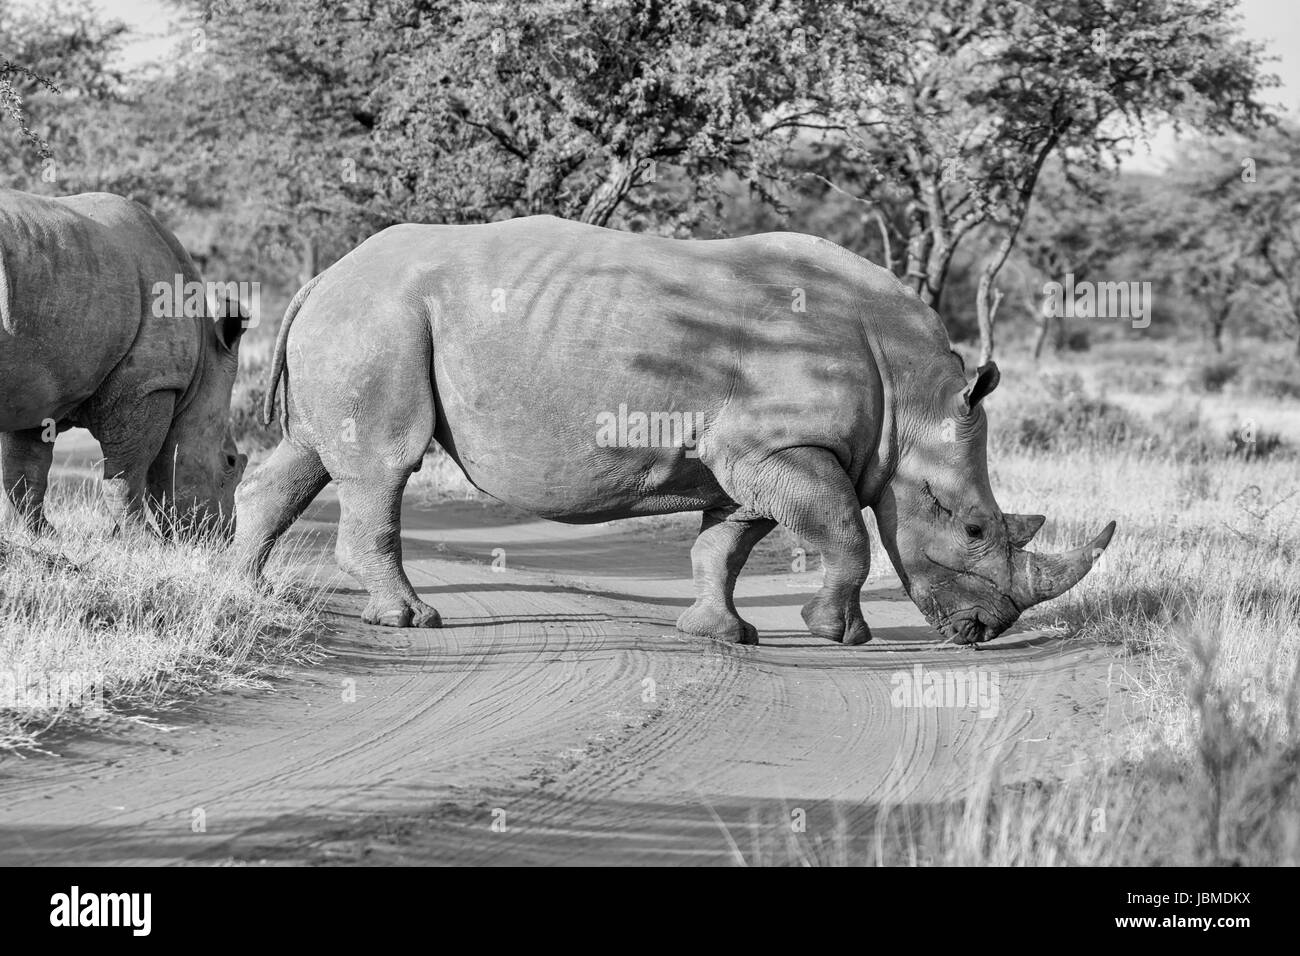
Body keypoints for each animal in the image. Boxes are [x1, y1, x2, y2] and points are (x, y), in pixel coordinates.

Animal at [0, 189, 248, 536]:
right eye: (229, 461)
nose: (223, 536)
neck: (202, 369)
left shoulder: (39, 383)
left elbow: (24, 468)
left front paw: (38, 534)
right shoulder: (151, 384)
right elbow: (127, 475)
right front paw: (142, 540)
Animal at [236, 216, 1113, 645]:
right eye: (973, 528)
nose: (986, 631)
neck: (910, 396)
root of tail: (325, 274)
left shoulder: (748, 456)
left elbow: (725, 544)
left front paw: (725, 634)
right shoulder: (773, 445)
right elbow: (844, 530)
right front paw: (839, 634)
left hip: (361, 318)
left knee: (309, 456)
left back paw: (248, 590)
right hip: (379, 317)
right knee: (382, 464)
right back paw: (411, 622)